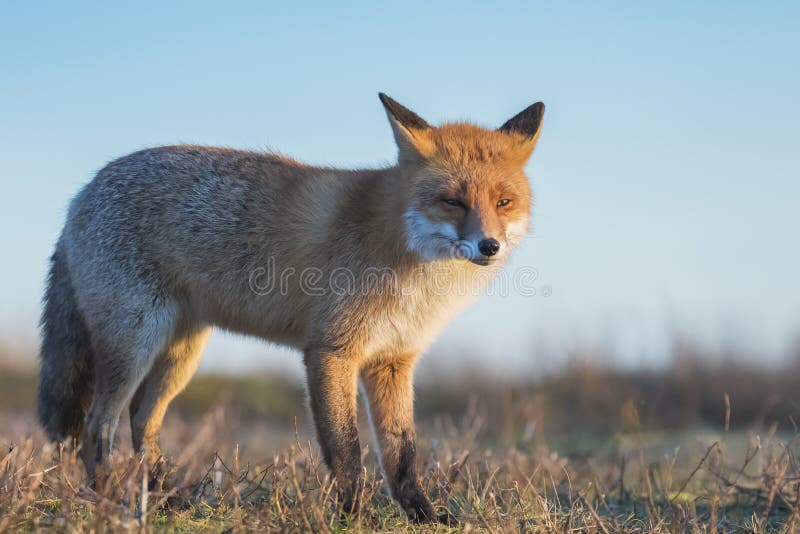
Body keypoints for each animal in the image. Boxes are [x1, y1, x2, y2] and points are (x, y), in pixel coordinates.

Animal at [38, 93, 544, 523]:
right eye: (452, 201)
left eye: (504, 202)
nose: (489, 246)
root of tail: (80, 196)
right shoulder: (331, 351)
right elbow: (346, 451)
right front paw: (352, 518)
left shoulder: (392, 361)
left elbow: (402, 456)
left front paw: (425, 517)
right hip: (136, 344)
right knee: (98, 426)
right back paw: (114, 501)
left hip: (181, 354)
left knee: (142, 420)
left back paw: (164, 499)